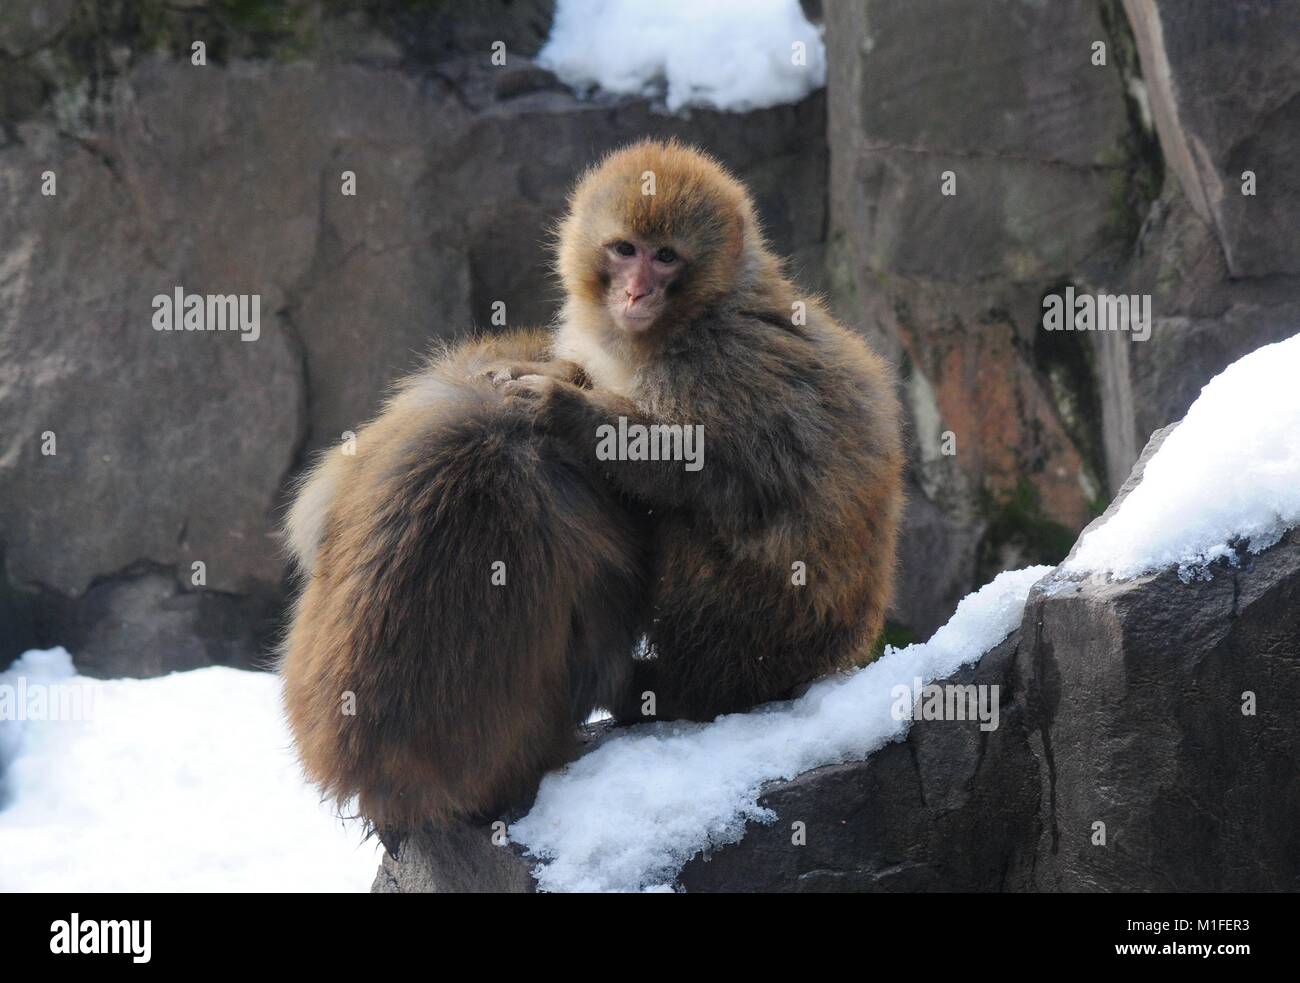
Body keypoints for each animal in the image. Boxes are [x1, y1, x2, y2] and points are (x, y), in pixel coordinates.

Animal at [495, 139, 905, 722]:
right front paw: (552, 374)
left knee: (694, 523)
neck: (688, 320)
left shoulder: (720, 364)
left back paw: (682, 690)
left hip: (773, 625)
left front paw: (561, 406)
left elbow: (701, 465)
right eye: (625, 249)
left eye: (665, 257)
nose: (635, 293)